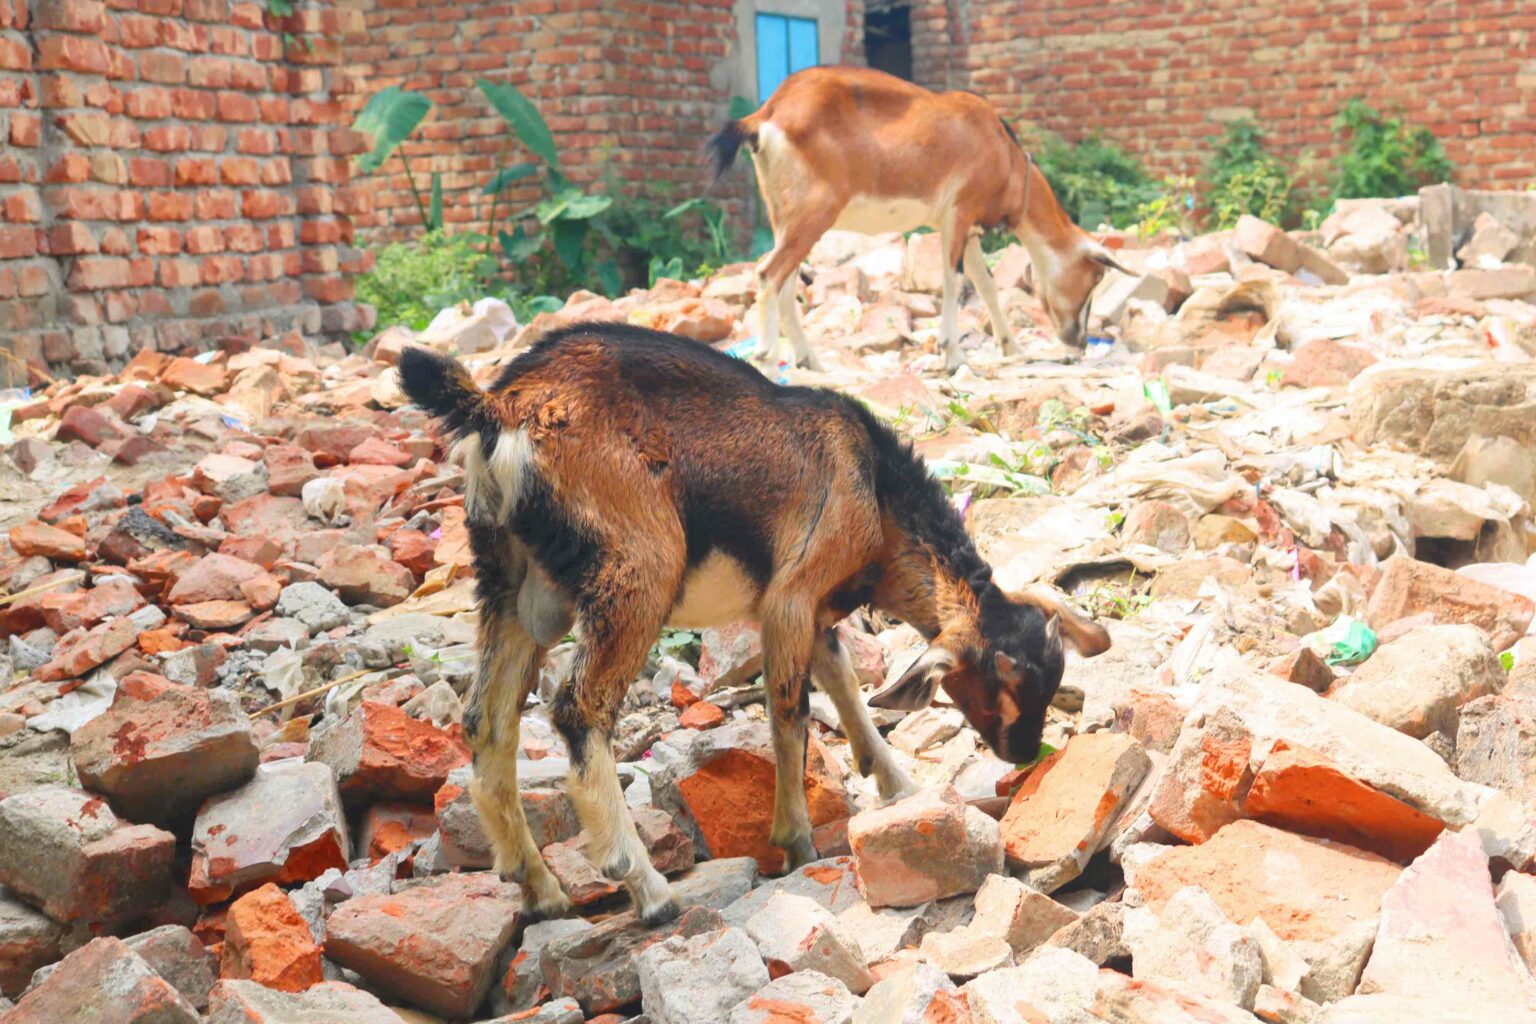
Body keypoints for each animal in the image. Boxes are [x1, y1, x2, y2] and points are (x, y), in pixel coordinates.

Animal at [398, 322, 1111, 925]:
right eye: (1002, 684)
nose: (1024, 752)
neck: (874, 488)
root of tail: (501, 410)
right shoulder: (790, 598)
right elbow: (790, 712)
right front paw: (797, 842)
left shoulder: (818, 612)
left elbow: (846, 688)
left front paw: (899, 782)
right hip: (637, 572)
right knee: (578, 709)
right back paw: (648, 889)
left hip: (509, 581)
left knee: (486, 723)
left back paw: (540, 888)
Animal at [709, 65, 1131, 373]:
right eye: (1096, 276)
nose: (1078, 339)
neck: (1003, 152)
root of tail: (766, 115)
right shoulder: (958, 212)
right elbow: (955, 281)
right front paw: (954, 357)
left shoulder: (966, 228)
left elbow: (986, 283)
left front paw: (1010, 346)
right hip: (813, 213)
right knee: (768, 274)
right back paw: (768, 362)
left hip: (785, 216)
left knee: (785, 283)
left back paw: (810, 361)